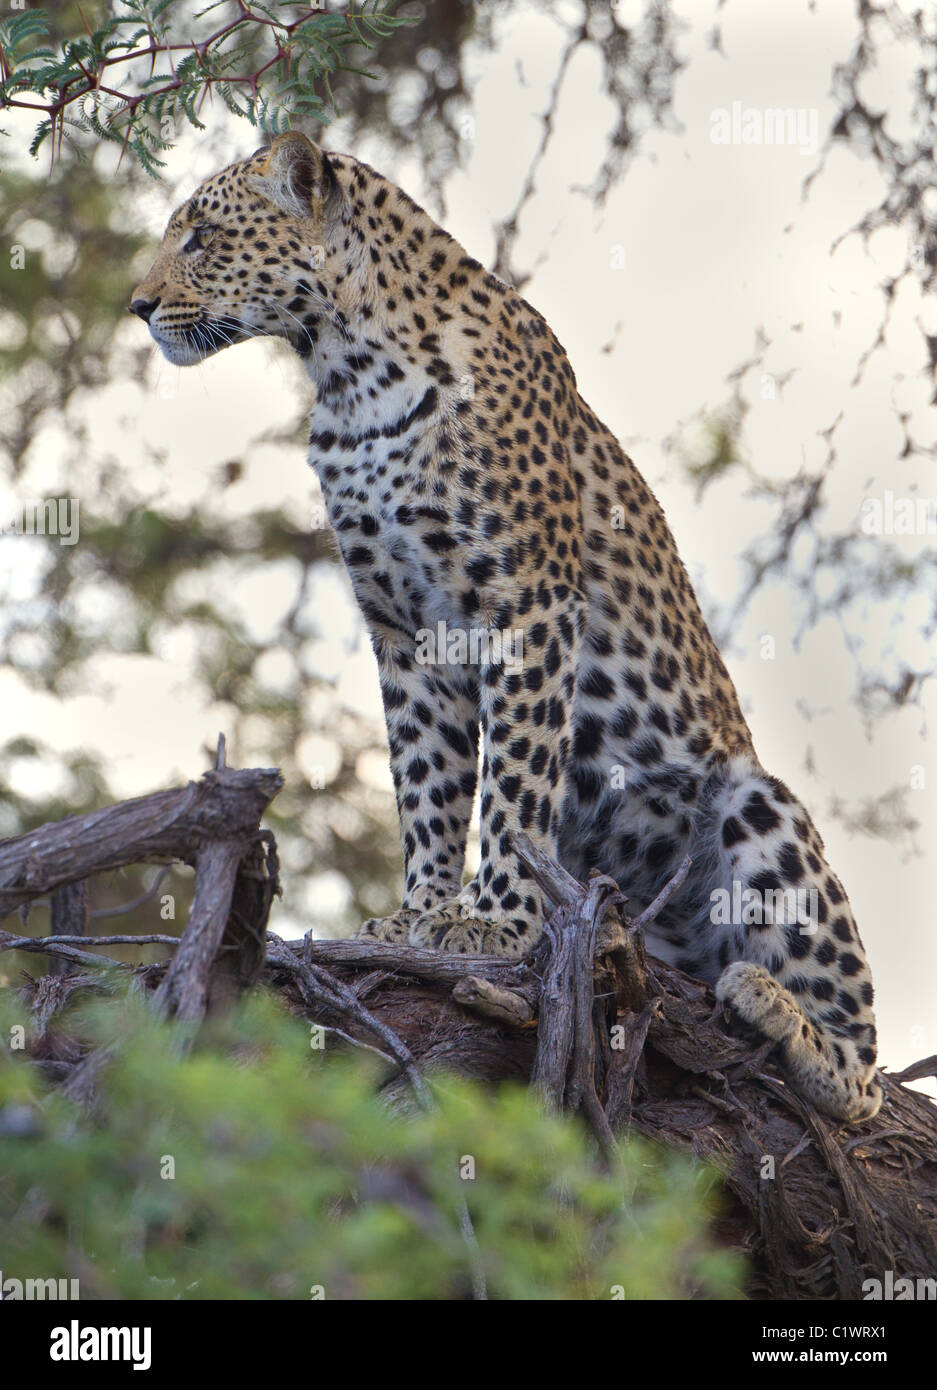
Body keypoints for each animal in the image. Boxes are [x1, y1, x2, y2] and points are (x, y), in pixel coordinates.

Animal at [130, 131, 882, 1123]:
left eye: (202, 236)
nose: (137, 307)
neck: (347, 374)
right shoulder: (405, 634)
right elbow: (428, 789)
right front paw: (417, 914)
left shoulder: (526, 606)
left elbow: (515, 784)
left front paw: (493, 921)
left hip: (755, 801)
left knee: (860, 1066)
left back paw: (782, 1014)